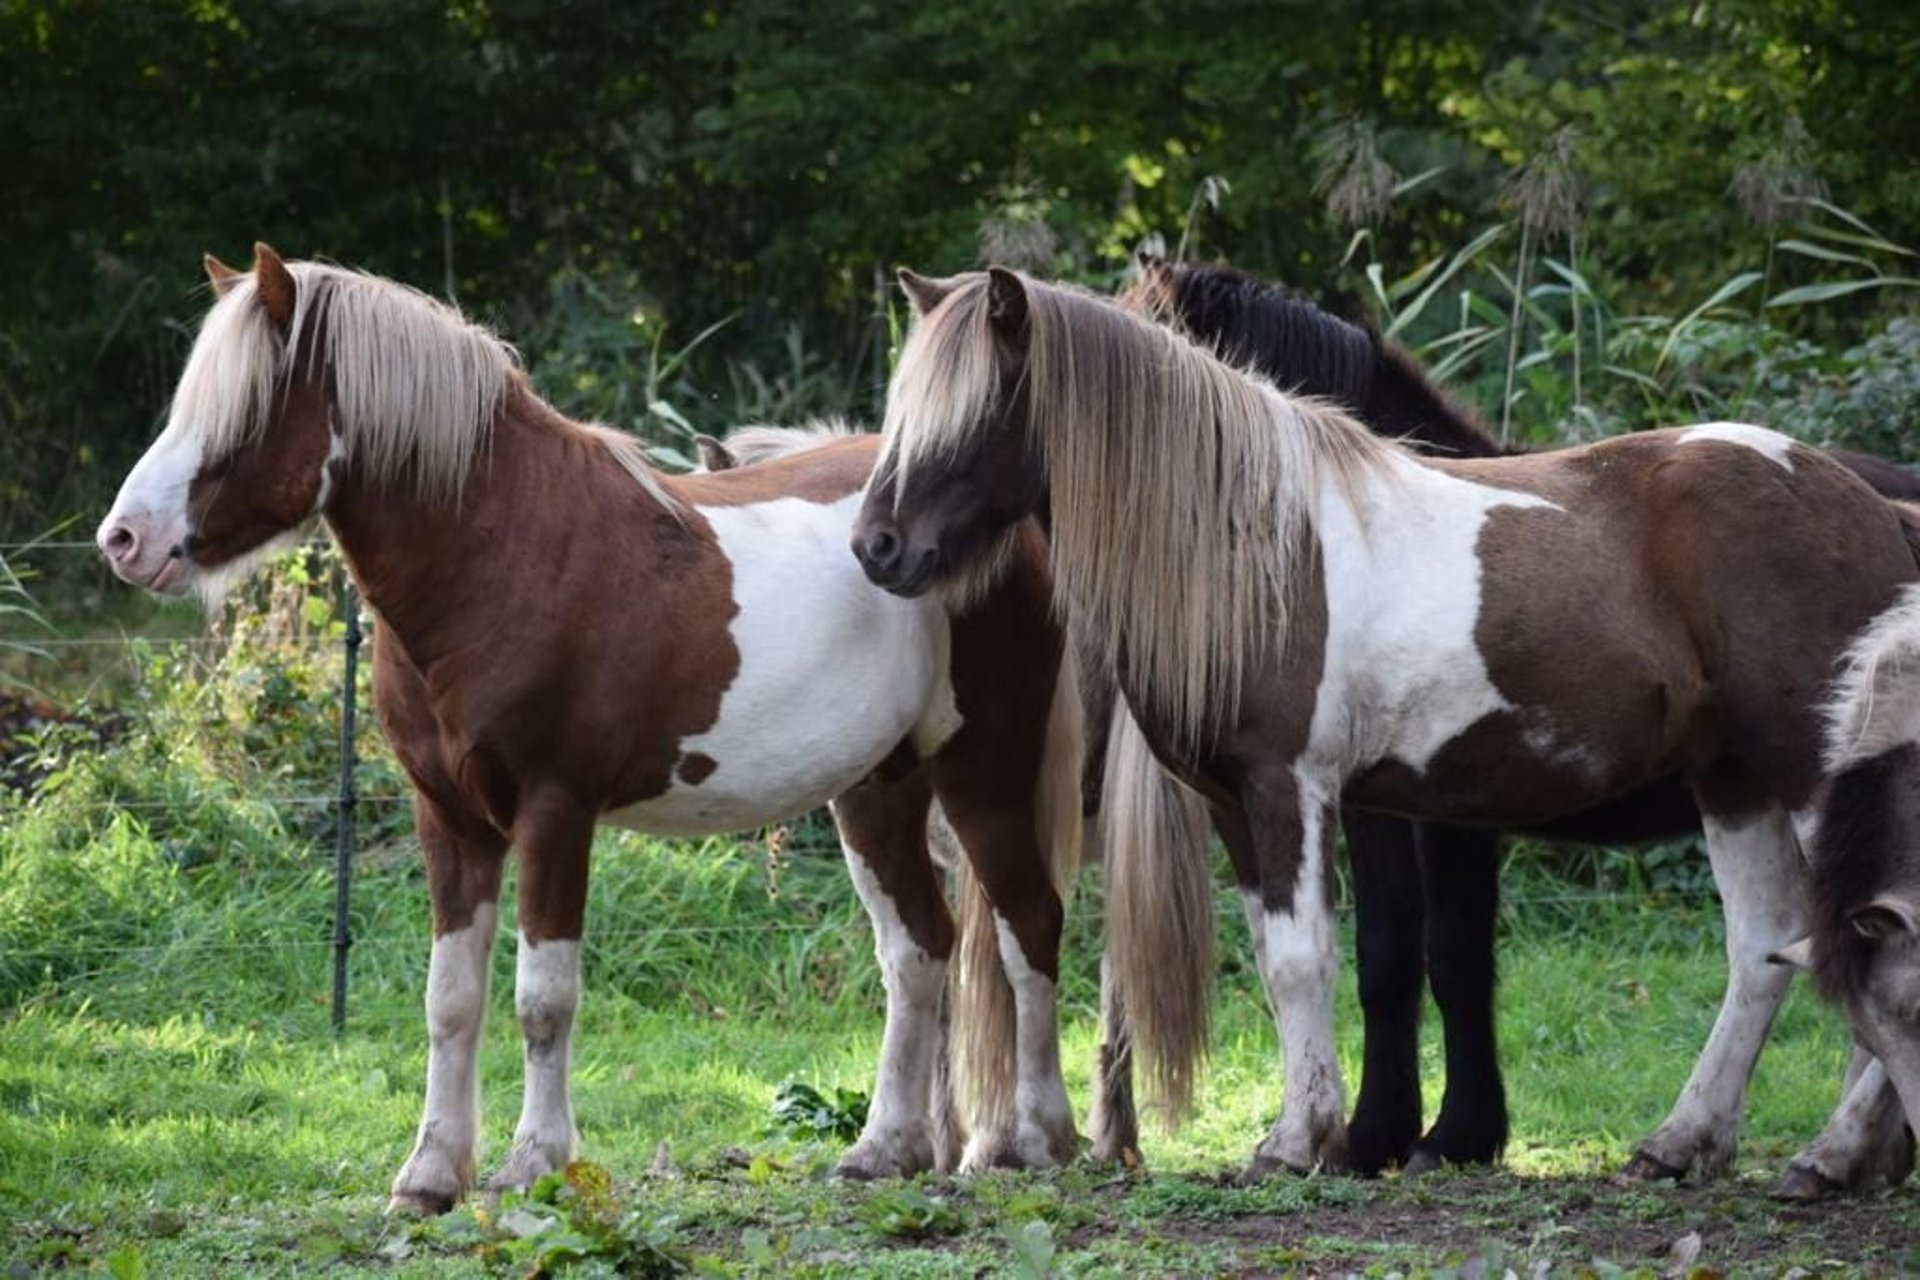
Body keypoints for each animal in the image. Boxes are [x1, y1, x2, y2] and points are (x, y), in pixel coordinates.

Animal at [96, 245, 1086, 1214]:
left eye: (246, 406)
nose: (124, 539)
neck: (502, 554)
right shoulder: (448, 818)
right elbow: (450, 999)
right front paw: (430, 1174)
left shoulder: (554, 812)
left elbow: (543, 998)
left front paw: (534, 1162)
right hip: (879, 787)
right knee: (918, 951)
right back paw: (885, 1152)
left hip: (985, 772)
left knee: (1027, 927)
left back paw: (1041, 1141)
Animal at [851, 265, 1920, 1184]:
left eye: (975, 408)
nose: (876, 547)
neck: (1259, 545)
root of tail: (1871, 506)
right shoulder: (1250, 805)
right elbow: (1298, 962)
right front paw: (1330, 1132)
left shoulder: (1301, 790)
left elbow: (1320, 960)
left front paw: (1308, 1141)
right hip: (1733, 778)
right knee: (1764, 948)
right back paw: (1686, 1141)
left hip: (1816, 776)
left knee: (1867, 948)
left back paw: (1832, 1154)